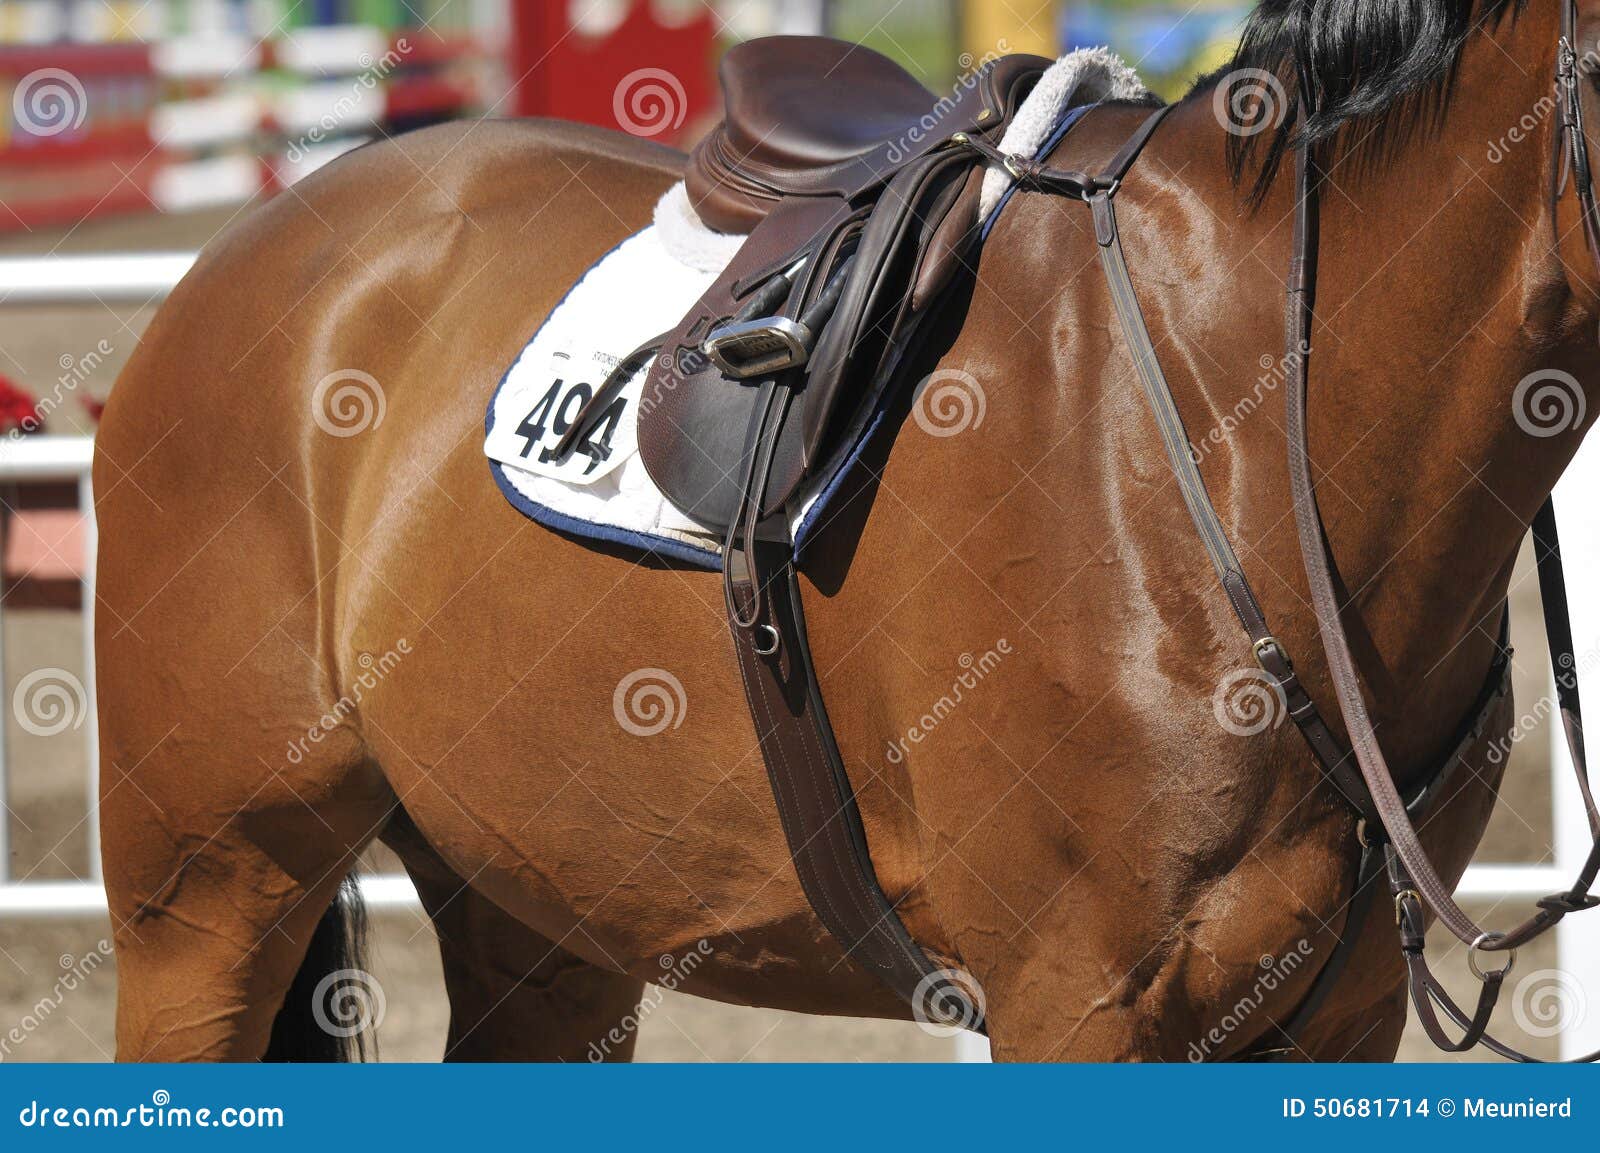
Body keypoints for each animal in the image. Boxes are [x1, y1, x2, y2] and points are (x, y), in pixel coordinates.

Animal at [95, 0, 1596, 1061]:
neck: (1239, 428)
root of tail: (255, 249)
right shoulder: (1078, 1003)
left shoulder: (1338, 1011)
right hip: (206, 894)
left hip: (538, 905)